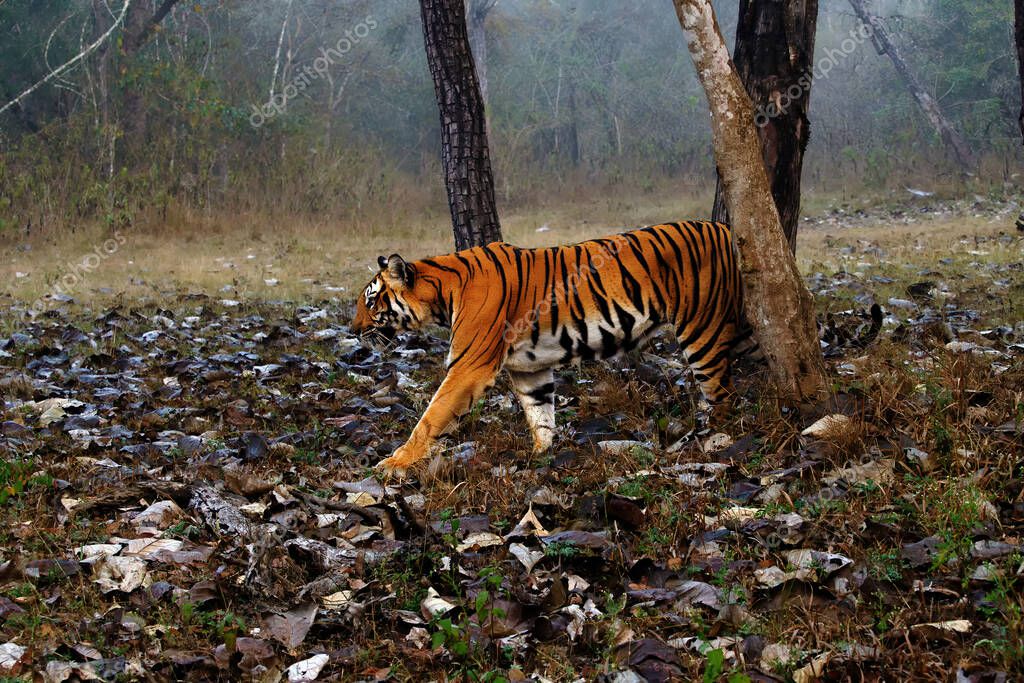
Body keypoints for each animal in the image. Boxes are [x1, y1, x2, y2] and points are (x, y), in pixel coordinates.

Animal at [351, 220, 746, 472]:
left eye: (370, 302)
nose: (353, 329)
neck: (442, 293)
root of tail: (726, 227)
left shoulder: (468, 366)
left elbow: (431, 417)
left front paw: (394, 463)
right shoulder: (530, 369)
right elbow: (540, 412)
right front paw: (541, 454)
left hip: (703, 330)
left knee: (724, 395)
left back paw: (713, 440)